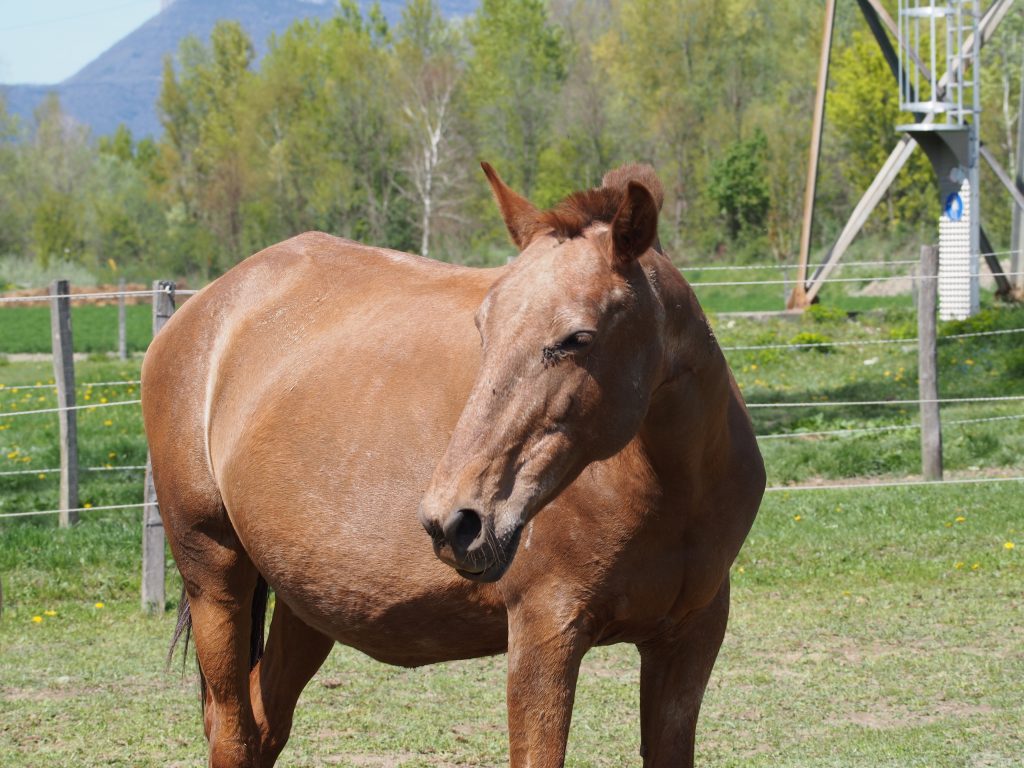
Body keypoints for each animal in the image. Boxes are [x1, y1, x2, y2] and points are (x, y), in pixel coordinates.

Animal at [142, 162, 765, 768]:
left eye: (578, 337)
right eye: (483, 328)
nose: (455, 520)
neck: (672, 494)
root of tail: (207, 307)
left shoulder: (688, 642)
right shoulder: (544, 635)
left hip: (306, 604)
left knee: (264, 725)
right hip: (215, 576)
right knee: (233, 734)